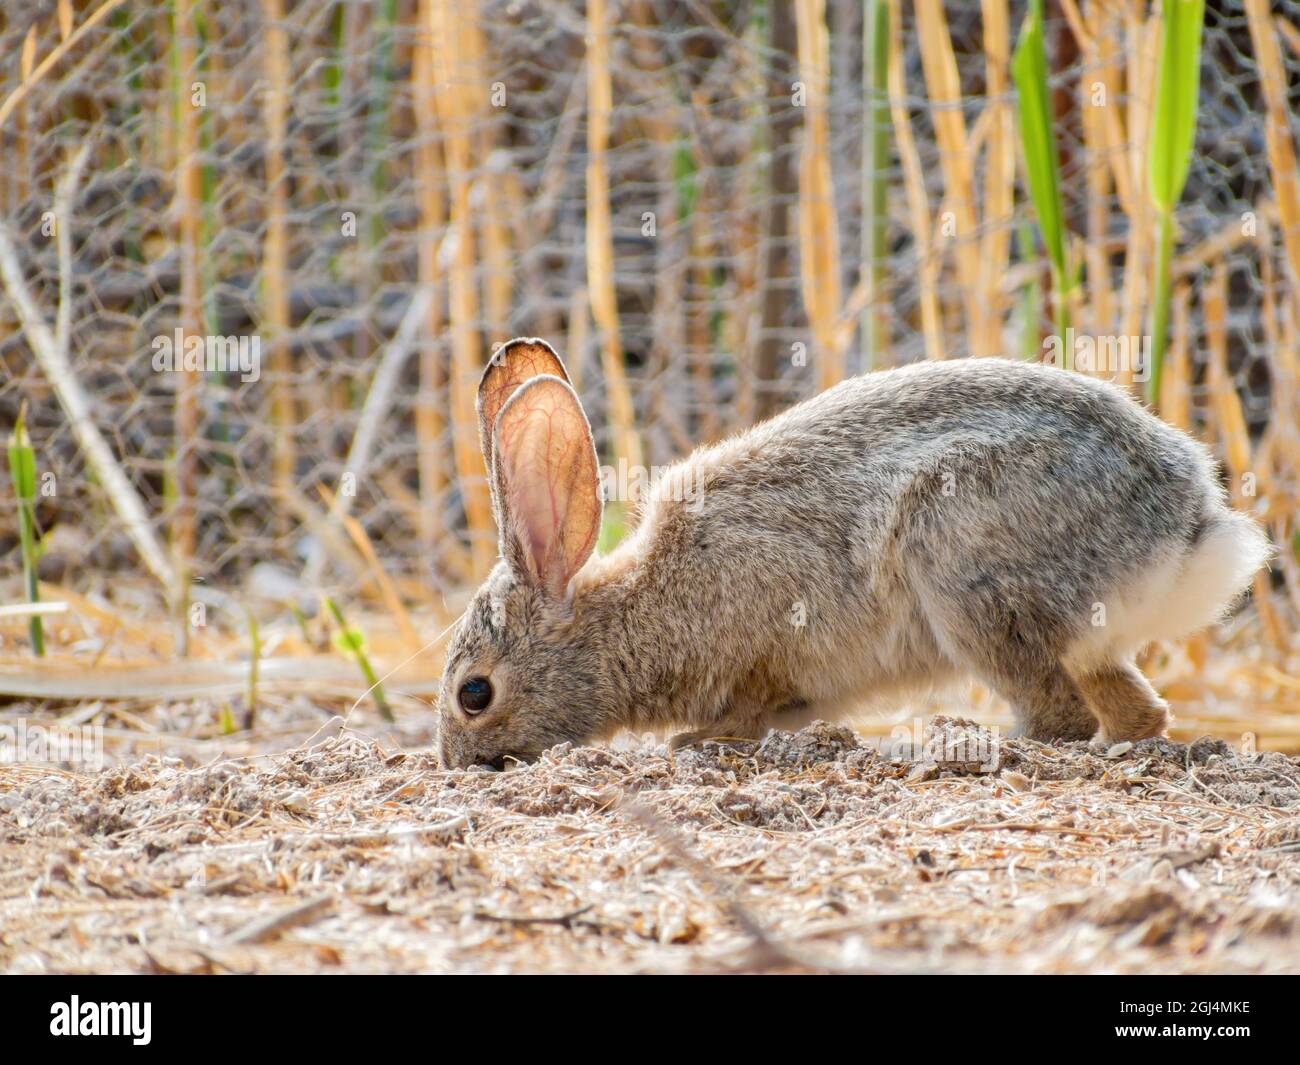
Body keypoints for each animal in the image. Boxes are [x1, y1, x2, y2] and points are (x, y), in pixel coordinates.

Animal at [436, 337, 1272, 769]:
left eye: (475, 693)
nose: (453, 762)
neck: (630, 615)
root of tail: (1192, 525)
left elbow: (744, 712)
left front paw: (696, 740)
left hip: (966, 572)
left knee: (1057, 715)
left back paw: (967, 746)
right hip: (1082, 638)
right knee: (1139, 712)